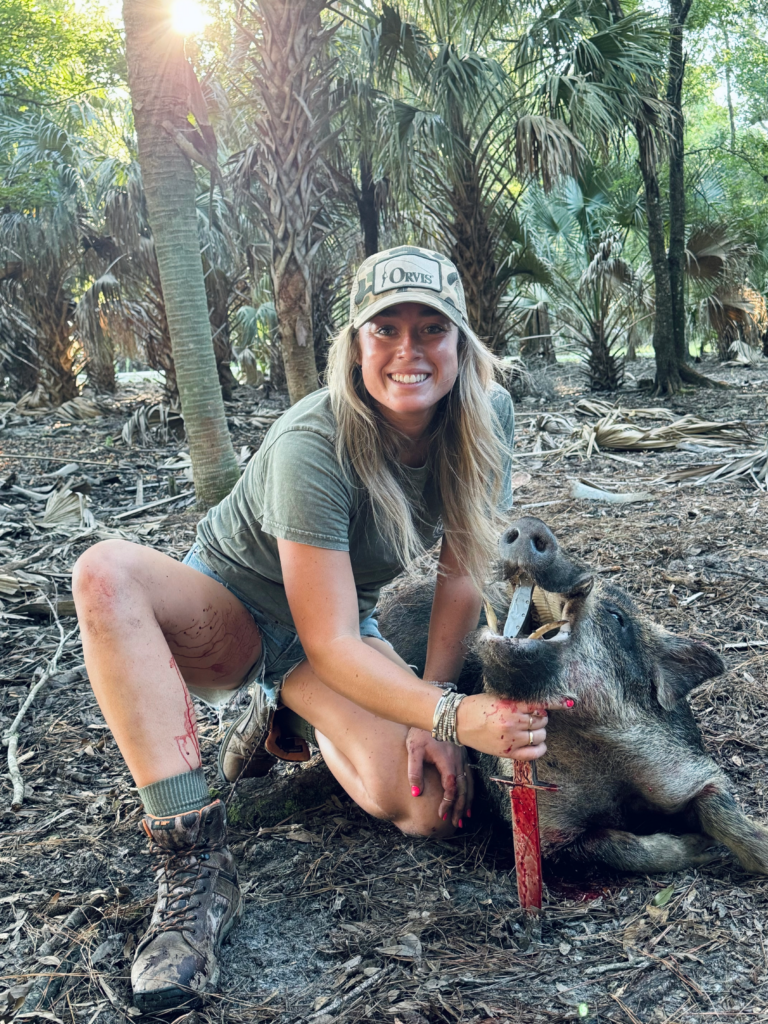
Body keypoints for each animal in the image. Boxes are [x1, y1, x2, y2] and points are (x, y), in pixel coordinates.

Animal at [376, 517, 768, 875]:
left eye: (618, 618)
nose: (529, 523)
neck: (597, 751)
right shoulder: (550, 831)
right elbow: (618, 847)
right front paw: (699, 847)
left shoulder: (688, 767)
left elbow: (719, 806)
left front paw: (747, 851)